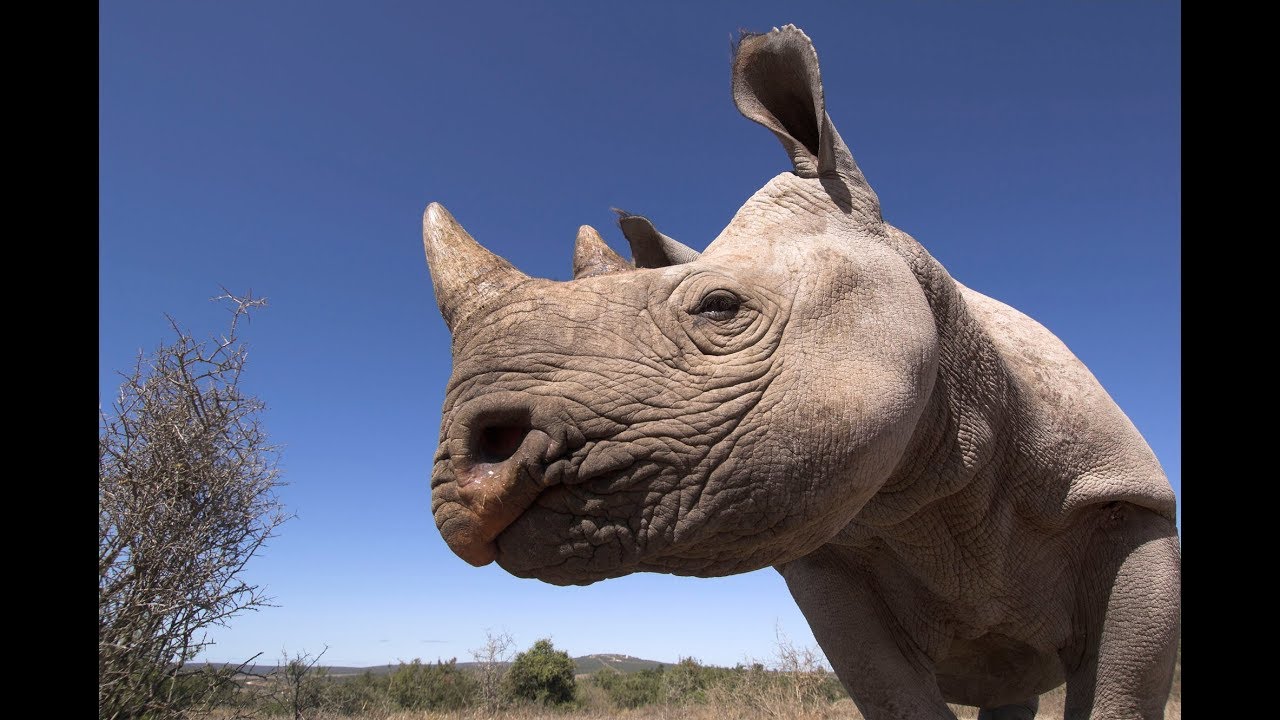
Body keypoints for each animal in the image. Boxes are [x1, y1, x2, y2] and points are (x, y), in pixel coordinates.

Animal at [420, 25, 1179, 720]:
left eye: (721, 307)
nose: (472, 467)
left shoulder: (1129, 502)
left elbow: (1120, 696)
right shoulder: (831, 563)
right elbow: (894, 696)